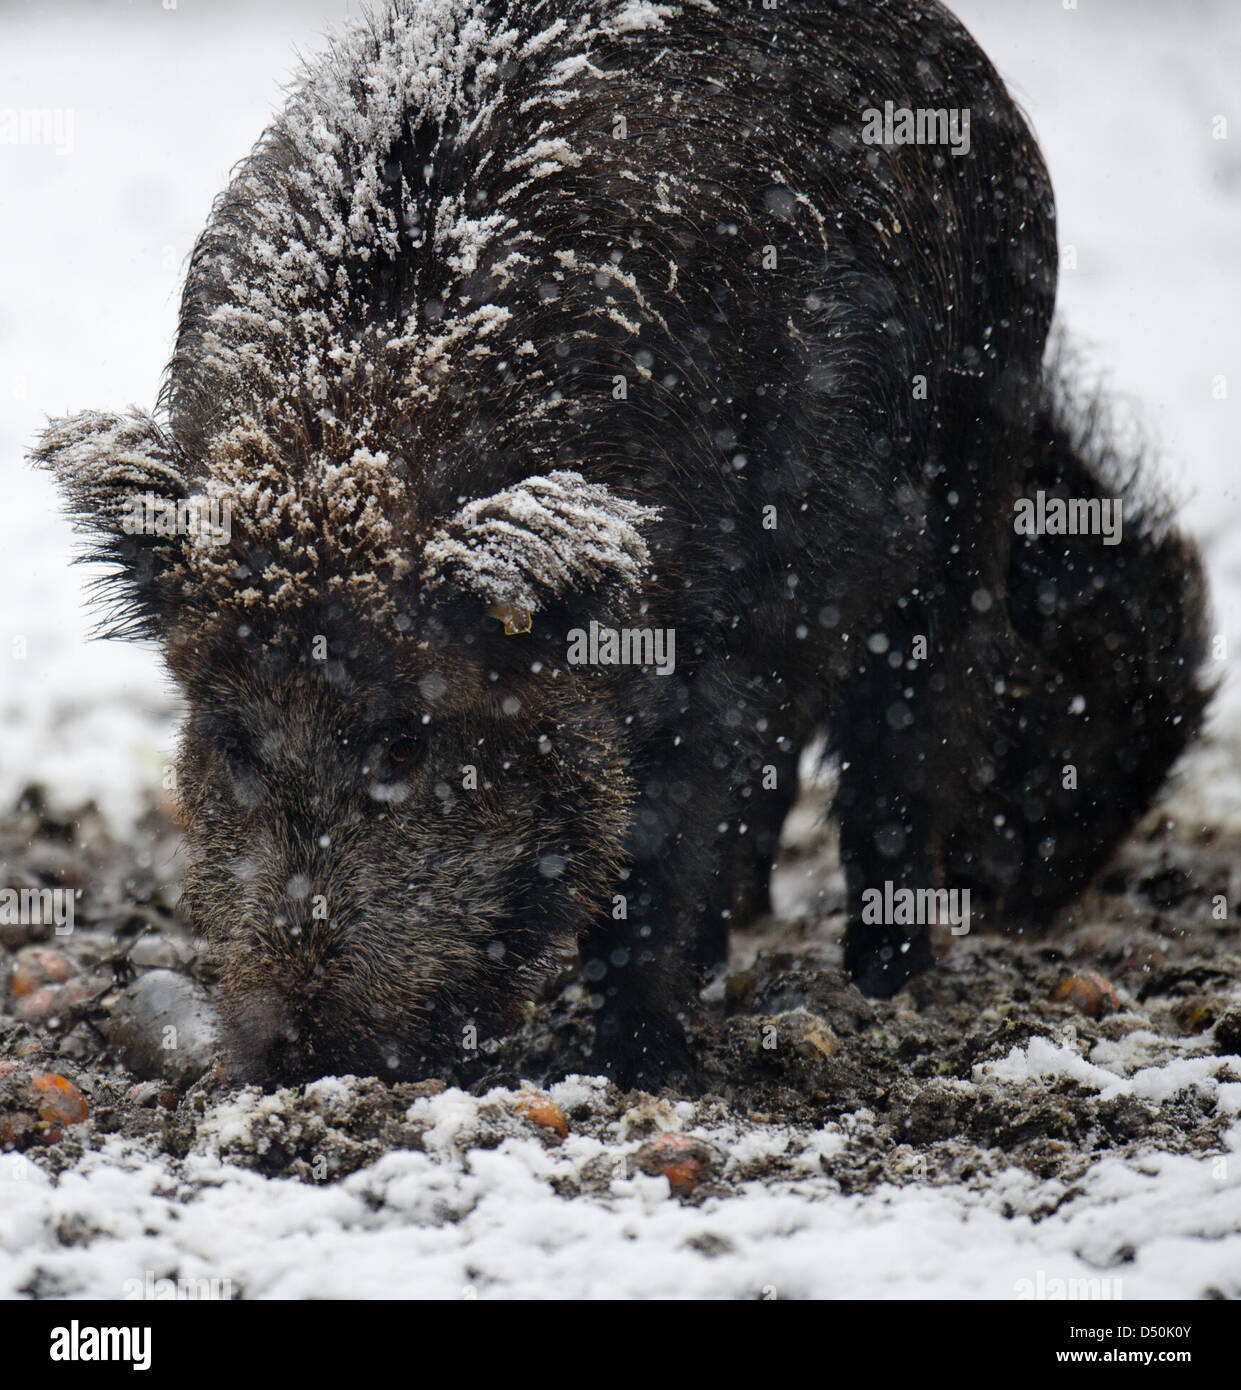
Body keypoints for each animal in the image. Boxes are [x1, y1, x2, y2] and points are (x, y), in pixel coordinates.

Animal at [35, 0, 1209, 1088]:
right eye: (234, 742)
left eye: (405, 744)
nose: (288, 1050)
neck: (363, 448)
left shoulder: (729, 632)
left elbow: (674, 836)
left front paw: (639, 1063)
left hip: (966, 489)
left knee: (902, 740)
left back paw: (884, 985)